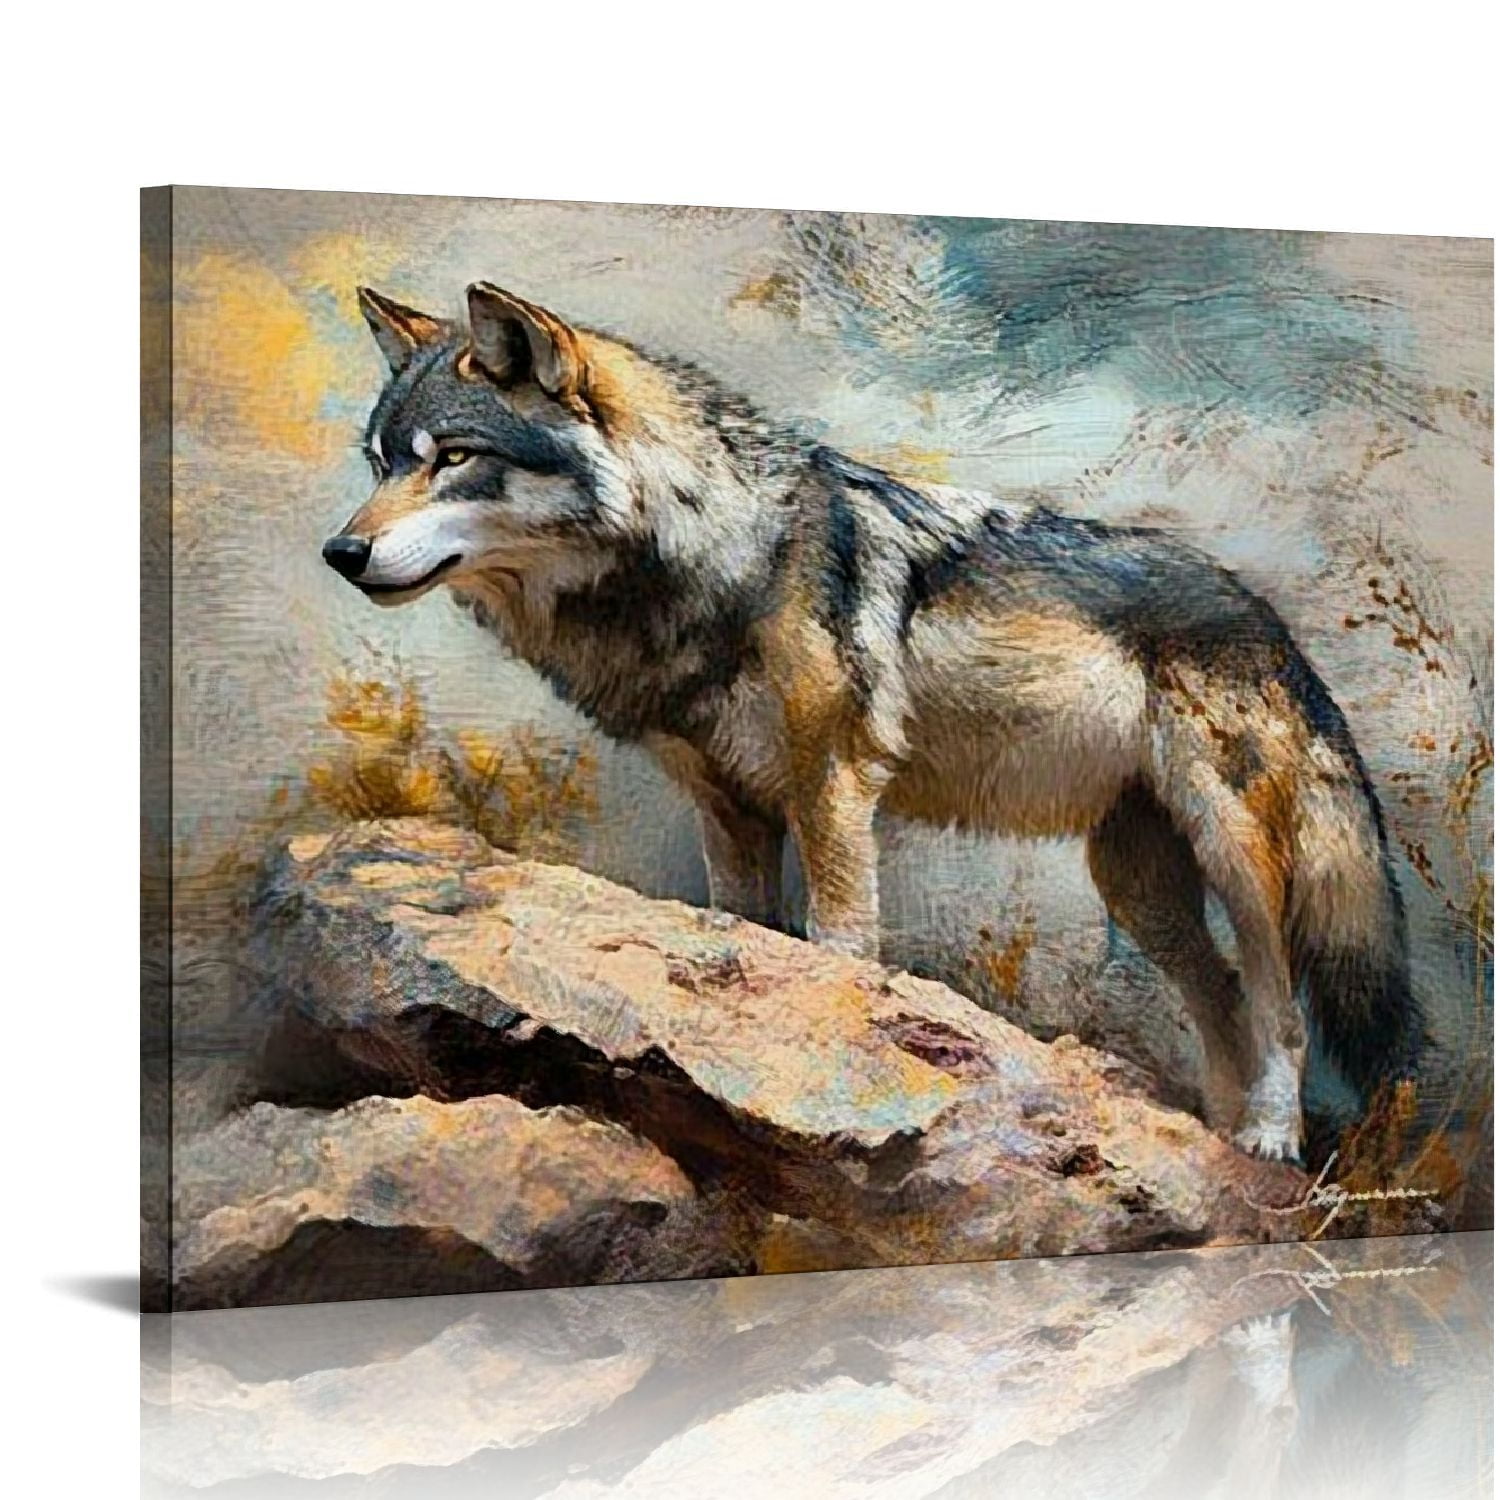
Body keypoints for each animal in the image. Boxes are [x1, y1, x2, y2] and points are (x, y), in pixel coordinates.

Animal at [323, 281, 1424, 1161]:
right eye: (381, 462)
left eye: (454, 457)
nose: (340, 552)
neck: (715, 558)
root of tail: (1272, 621)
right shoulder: (728, 809)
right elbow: (745, 931)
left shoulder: (832, 787)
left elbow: (839, 944)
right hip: (1141, 887)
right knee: (1225, 1004)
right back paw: (1219, 1141)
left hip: (1232, 851)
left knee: (1281, 1010)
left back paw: (1272, 1141)